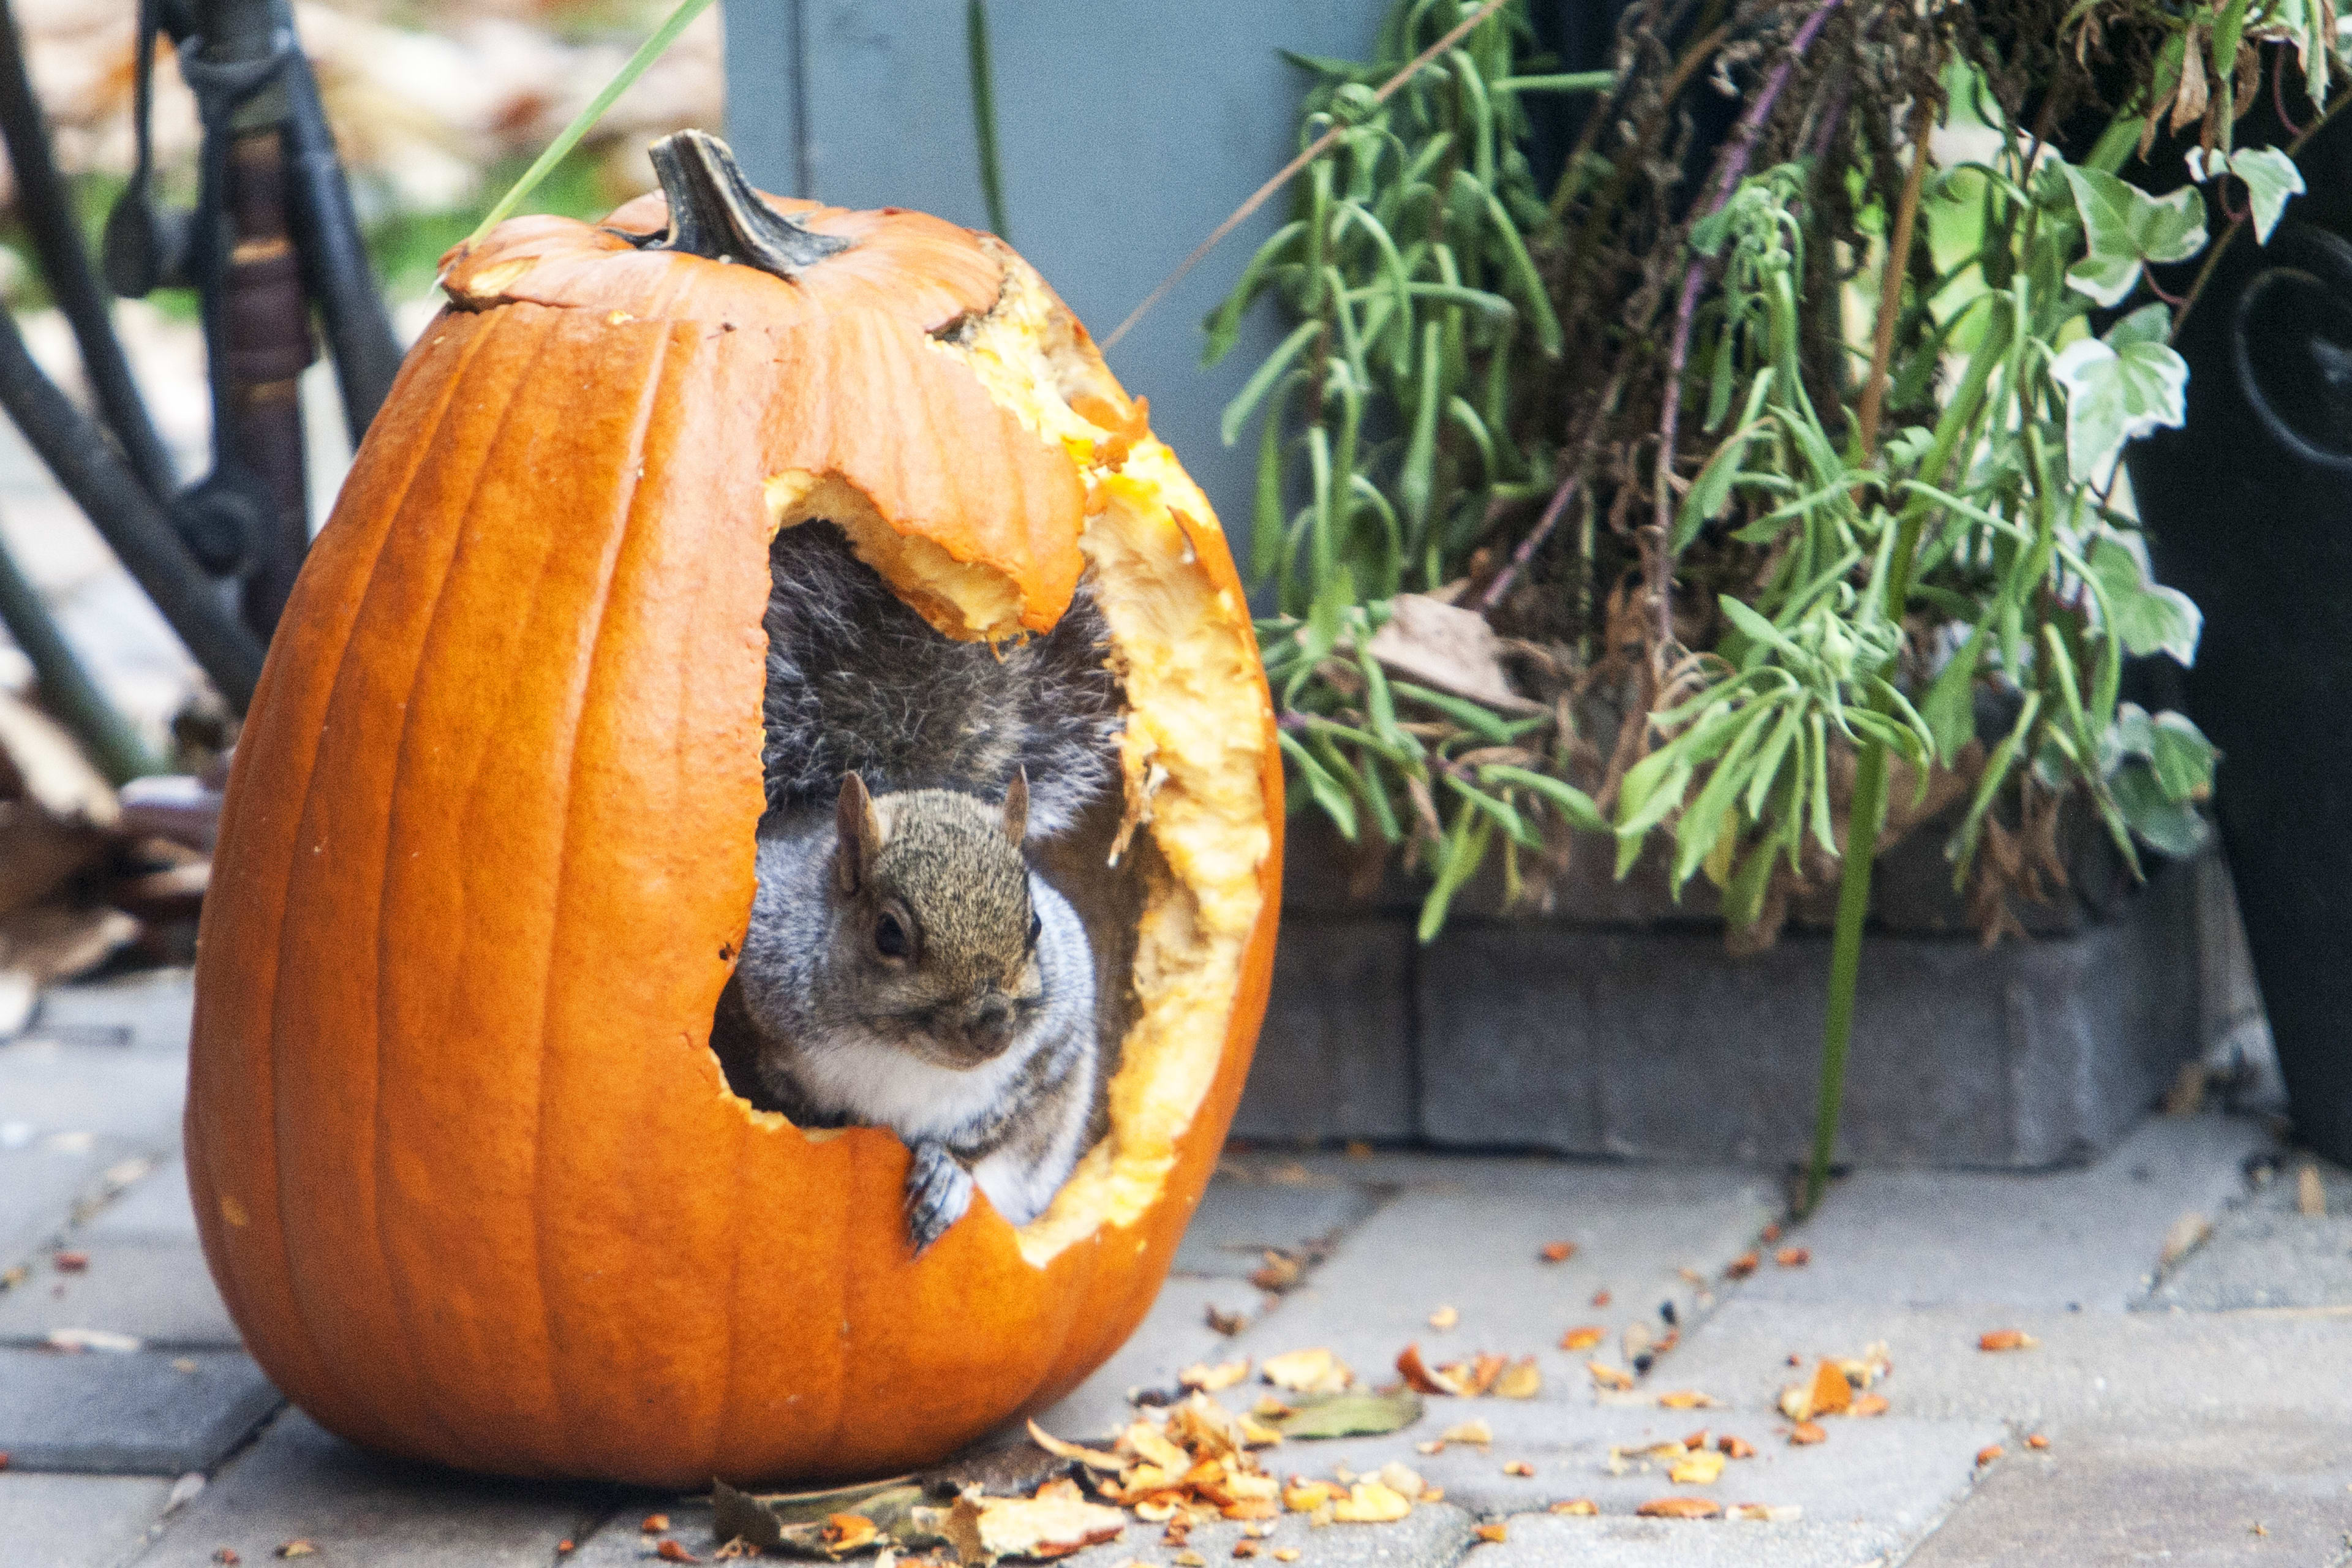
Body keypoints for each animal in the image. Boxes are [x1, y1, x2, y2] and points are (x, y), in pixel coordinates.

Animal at [722, 521, 1121, 1254]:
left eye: (1035, 926)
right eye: (889, 934)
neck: (901, 1054)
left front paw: (947, 1174)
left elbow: (1004, 1121)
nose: (991, 1028)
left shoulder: (1057, 1045)